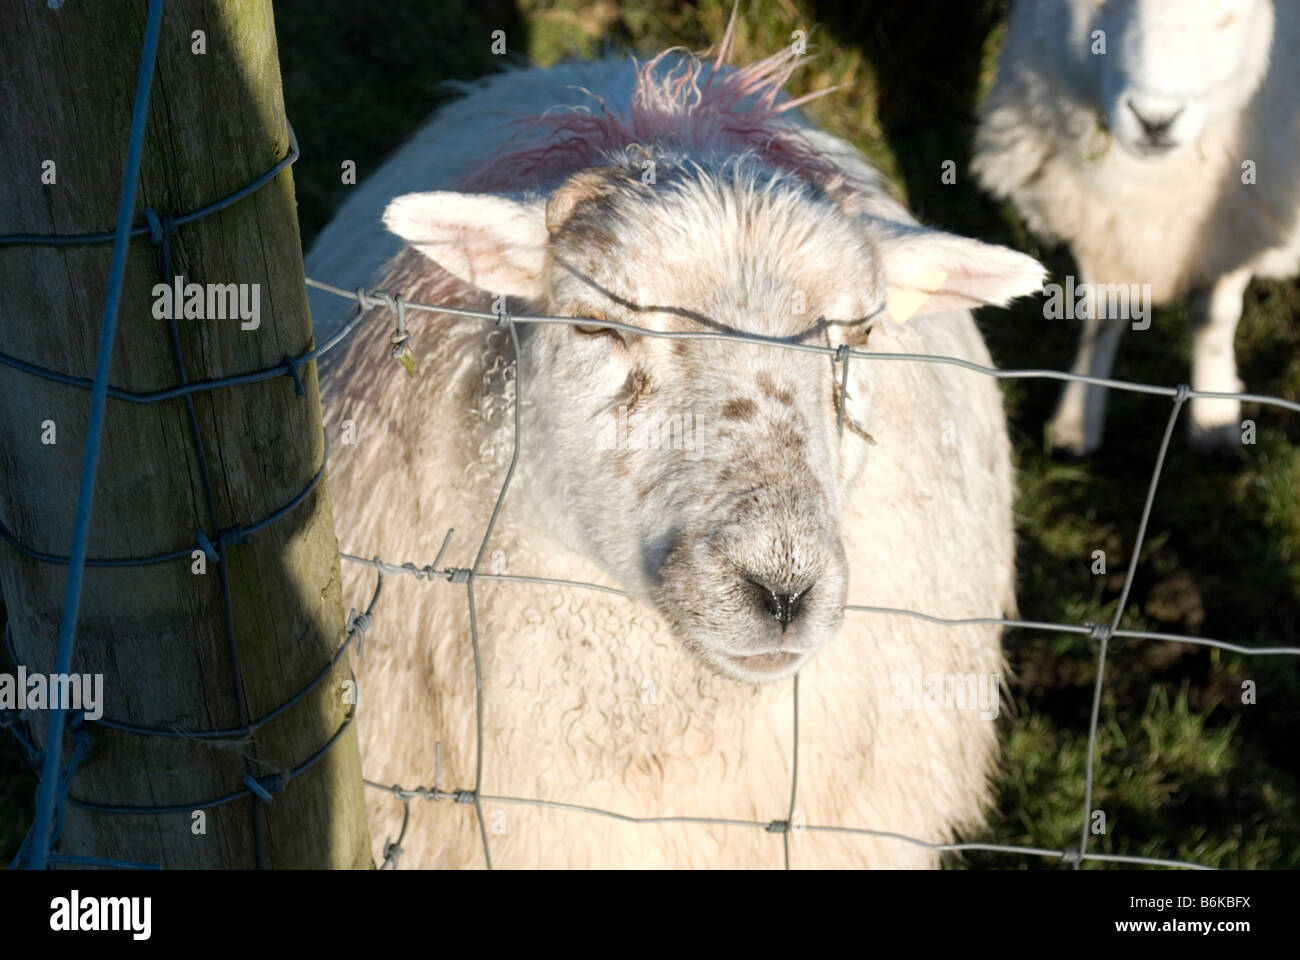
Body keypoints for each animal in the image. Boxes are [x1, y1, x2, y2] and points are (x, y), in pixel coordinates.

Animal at [973, 0, 1300, 455]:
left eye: (1229, 9)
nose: (1155, 121)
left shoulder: (1238, 218)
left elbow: (1214, 316)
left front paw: (1214, 421)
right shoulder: (1099, 218)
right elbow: (1103, 314)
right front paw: (1076, 421)